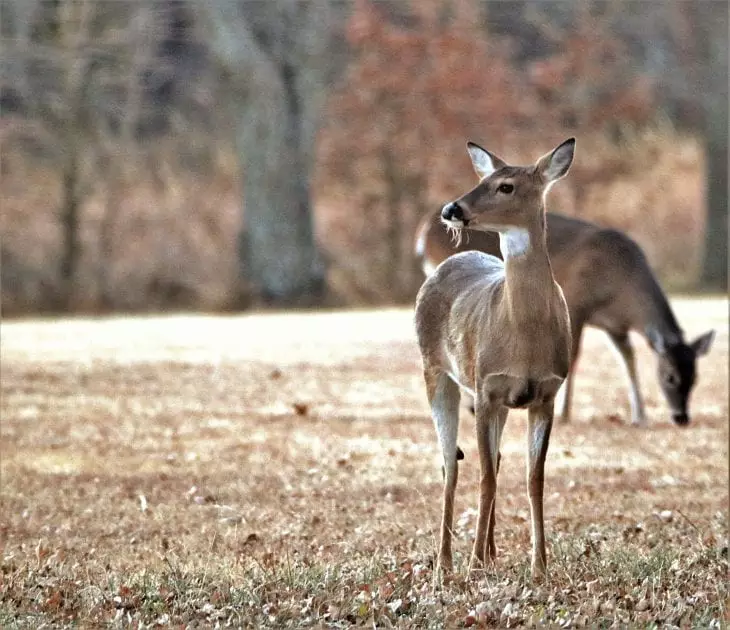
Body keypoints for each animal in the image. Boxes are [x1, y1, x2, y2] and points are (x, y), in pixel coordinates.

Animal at [412, 202, 712, 428]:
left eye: (696, 377)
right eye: (670, 377)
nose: (682, 417)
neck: (622, 290)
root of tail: (423, 233)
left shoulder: (615, 325)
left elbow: (627, 359)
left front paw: (640, 417)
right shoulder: (576, 305)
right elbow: (575, 356)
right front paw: (565, 413)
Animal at [416, 139, 576, 584]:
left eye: (505, 186)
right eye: (481, 179)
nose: (451, 209)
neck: (523, 336)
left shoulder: (545, 393)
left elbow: (534, 478)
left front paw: (540, 566)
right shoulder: (486, 388)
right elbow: (485, 477)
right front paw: (472, 565)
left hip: (494, 399)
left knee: (494, 460)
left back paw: (489, 553)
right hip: (437, 372)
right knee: (449, 465)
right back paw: (446, 563)